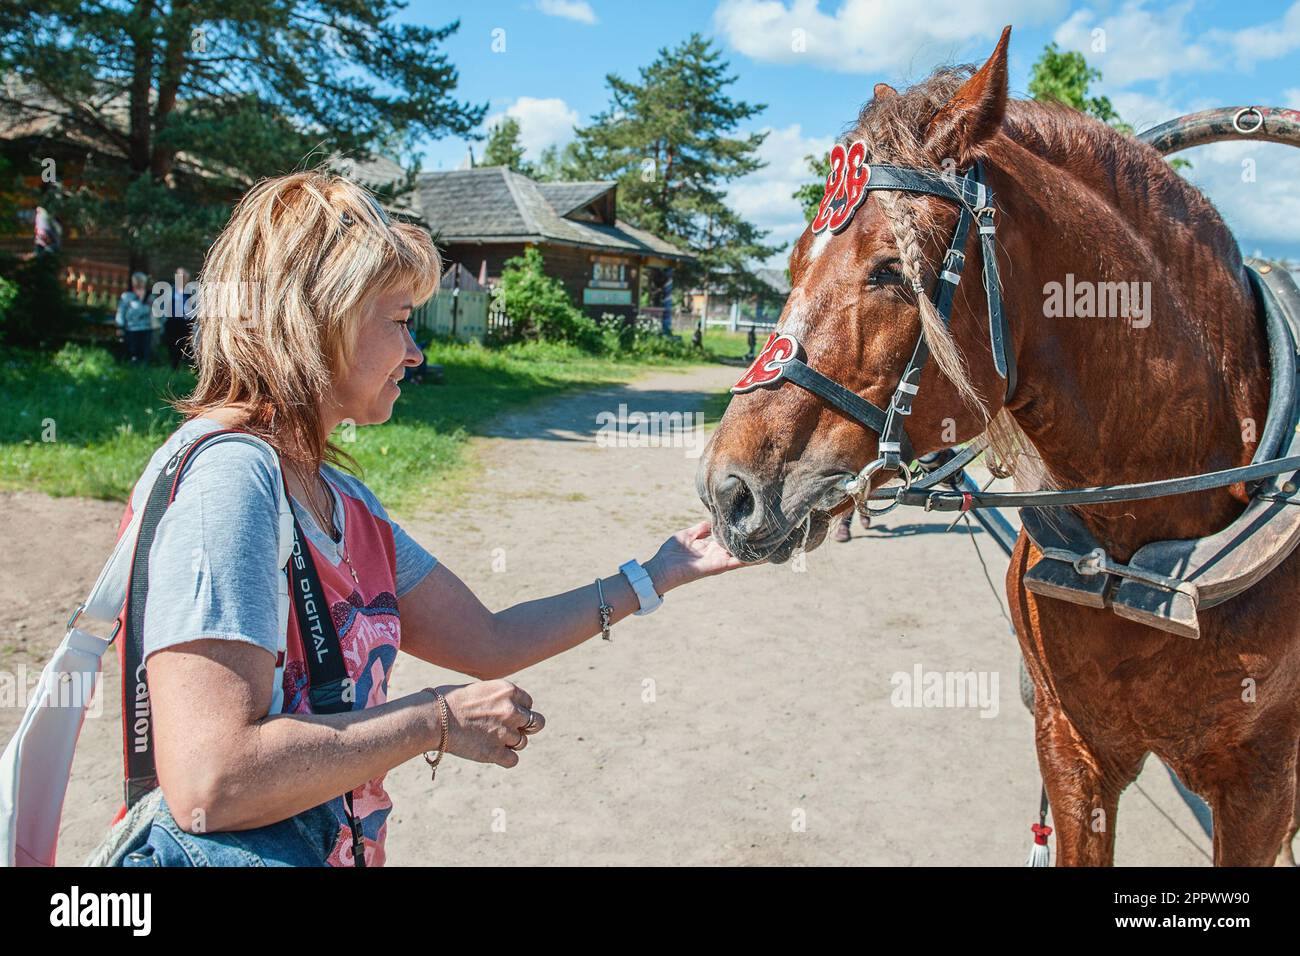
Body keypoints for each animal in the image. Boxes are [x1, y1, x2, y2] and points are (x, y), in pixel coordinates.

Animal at [696, 26, 1300, 866]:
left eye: (892, 271)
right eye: (792, 265)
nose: (729, 490)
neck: (1144, 549)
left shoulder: (1261, 787)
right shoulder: (1072, 746)